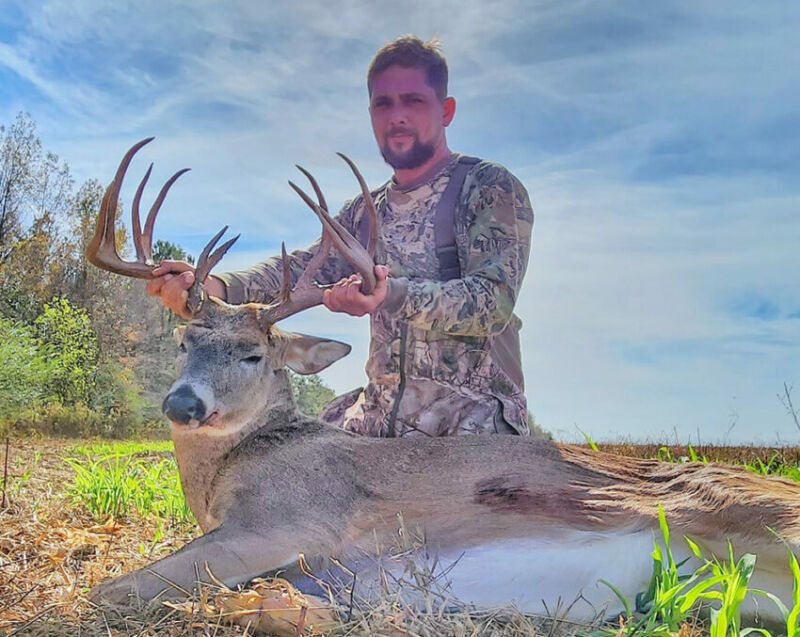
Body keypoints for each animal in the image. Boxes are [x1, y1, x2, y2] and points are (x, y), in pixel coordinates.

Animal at [87, 139, 800, 625]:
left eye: (253, 354)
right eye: (185, 342)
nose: (182, 403)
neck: (228, 472)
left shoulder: (291, 521)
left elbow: (114, 588)